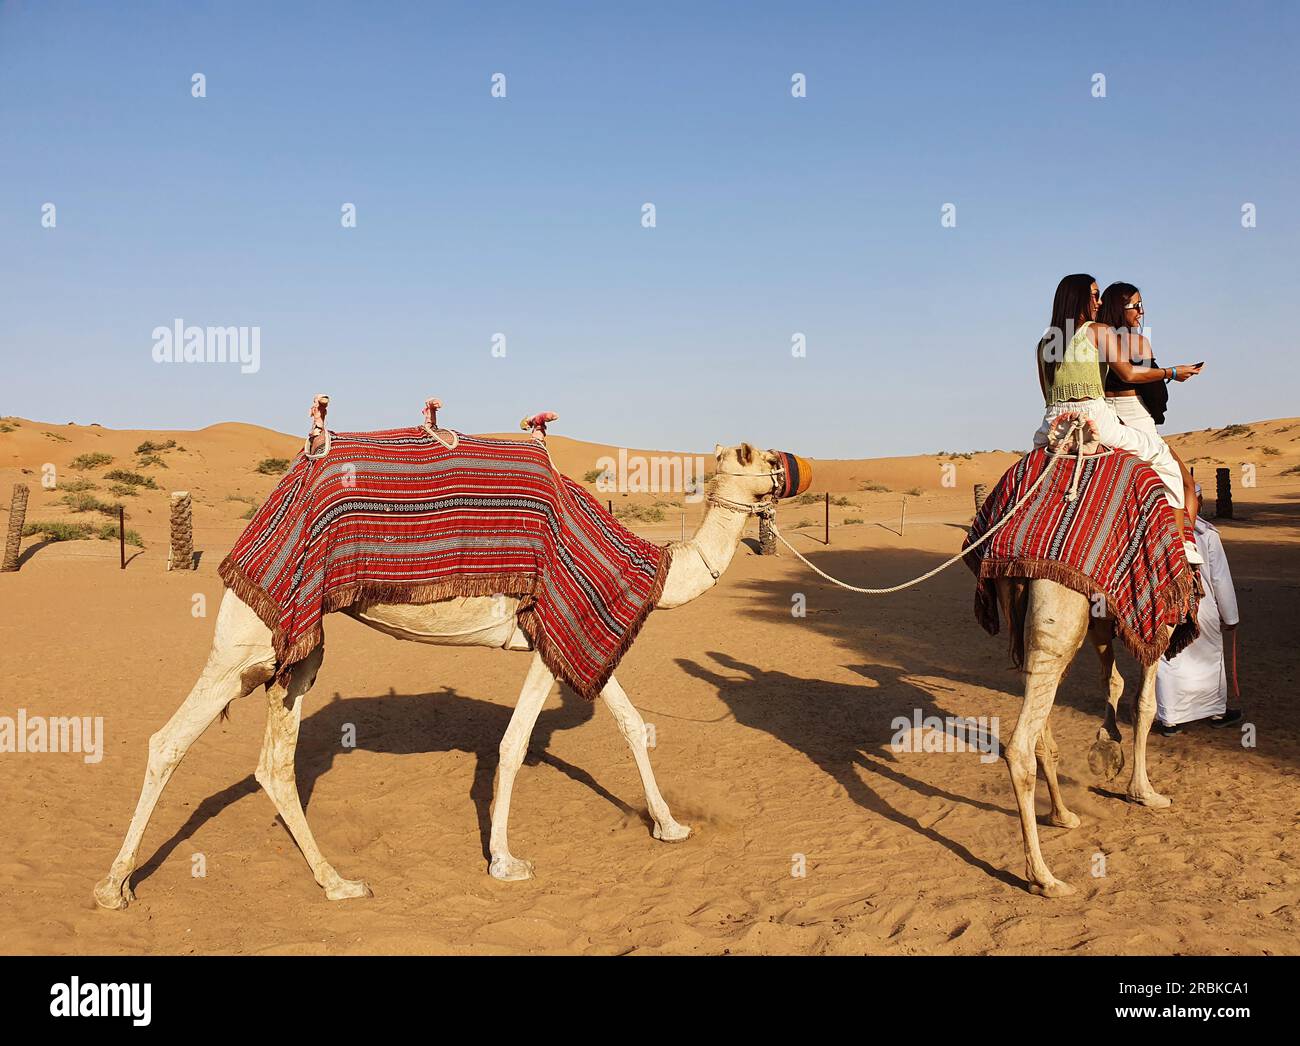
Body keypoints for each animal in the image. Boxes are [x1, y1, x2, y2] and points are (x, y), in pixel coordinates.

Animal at [94, 442, 802, 909]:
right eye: (757, 455)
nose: (790, 470)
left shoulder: (566, 636)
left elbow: (632, 724)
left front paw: (671, 826)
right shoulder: (550, 631)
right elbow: (513, 745)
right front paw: (505, 863)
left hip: (297, 653)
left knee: (272, 763)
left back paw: (338, 882)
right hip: (249, 639)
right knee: (170, 741)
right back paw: (112, 886)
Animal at [995, 577, 1169, 898]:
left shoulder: (1102, 613)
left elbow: (1112, 678)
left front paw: (1108, 745)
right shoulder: (1159, 616)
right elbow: (1145, 703)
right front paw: (1143, 792)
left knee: (1041, 726)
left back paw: (1061, 815)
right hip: (1056, 628)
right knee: (1019, 749)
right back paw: (1045, 878)